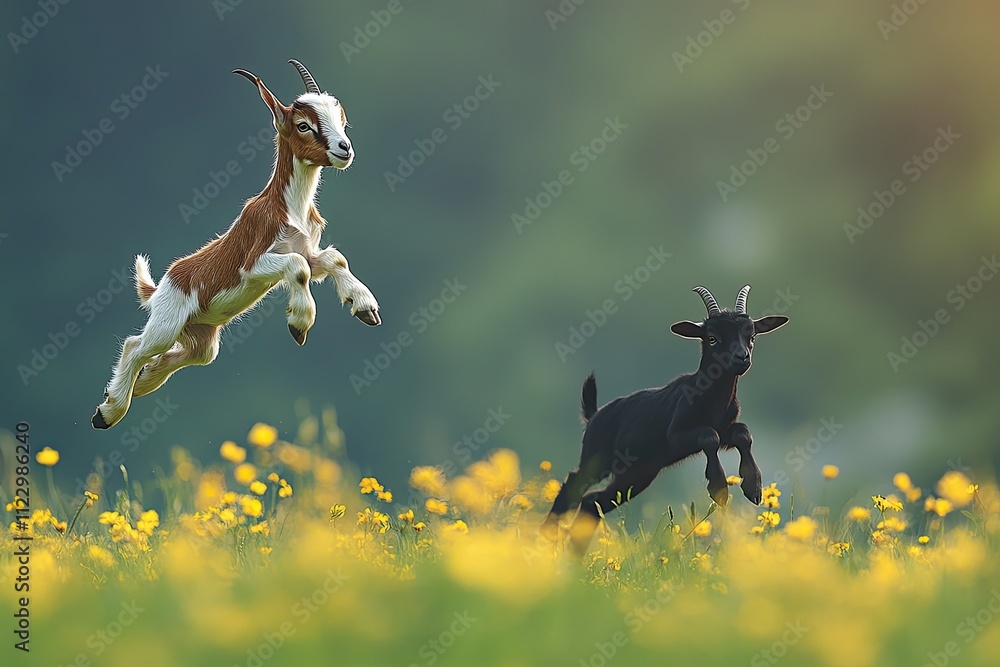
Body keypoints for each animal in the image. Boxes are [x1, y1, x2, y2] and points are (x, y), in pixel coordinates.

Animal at [92, 60, 381, 430]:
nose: (344, 149)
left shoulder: (309, 250)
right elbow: (298, 268)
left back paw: (137, 385)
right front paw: (299, 325)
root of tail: (160, 287)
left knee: (182, 357)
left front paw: (365, 308)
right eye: (304, 125)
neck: (291, 208)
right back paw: (106, 413)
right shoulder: (255, 262)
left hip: (201, 338)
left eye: (341, 120)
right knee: (135, 345)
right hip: (168, 322)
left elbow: (333, 259)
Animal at [541, 285, 788, 552]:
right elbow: (708, 436)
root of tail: (594, 415)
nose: (741, 357)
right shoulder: (676, 435)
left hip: (638, 473)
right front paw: (719, 489)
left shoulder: (726, 429)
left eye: (751, 336)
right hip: (598, 457)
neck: (710, 402)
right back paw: (543, 536)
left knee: (592, 501)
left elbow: (742, 433)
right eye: (712, 338)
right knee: (574, 484)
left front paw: (753, 488)